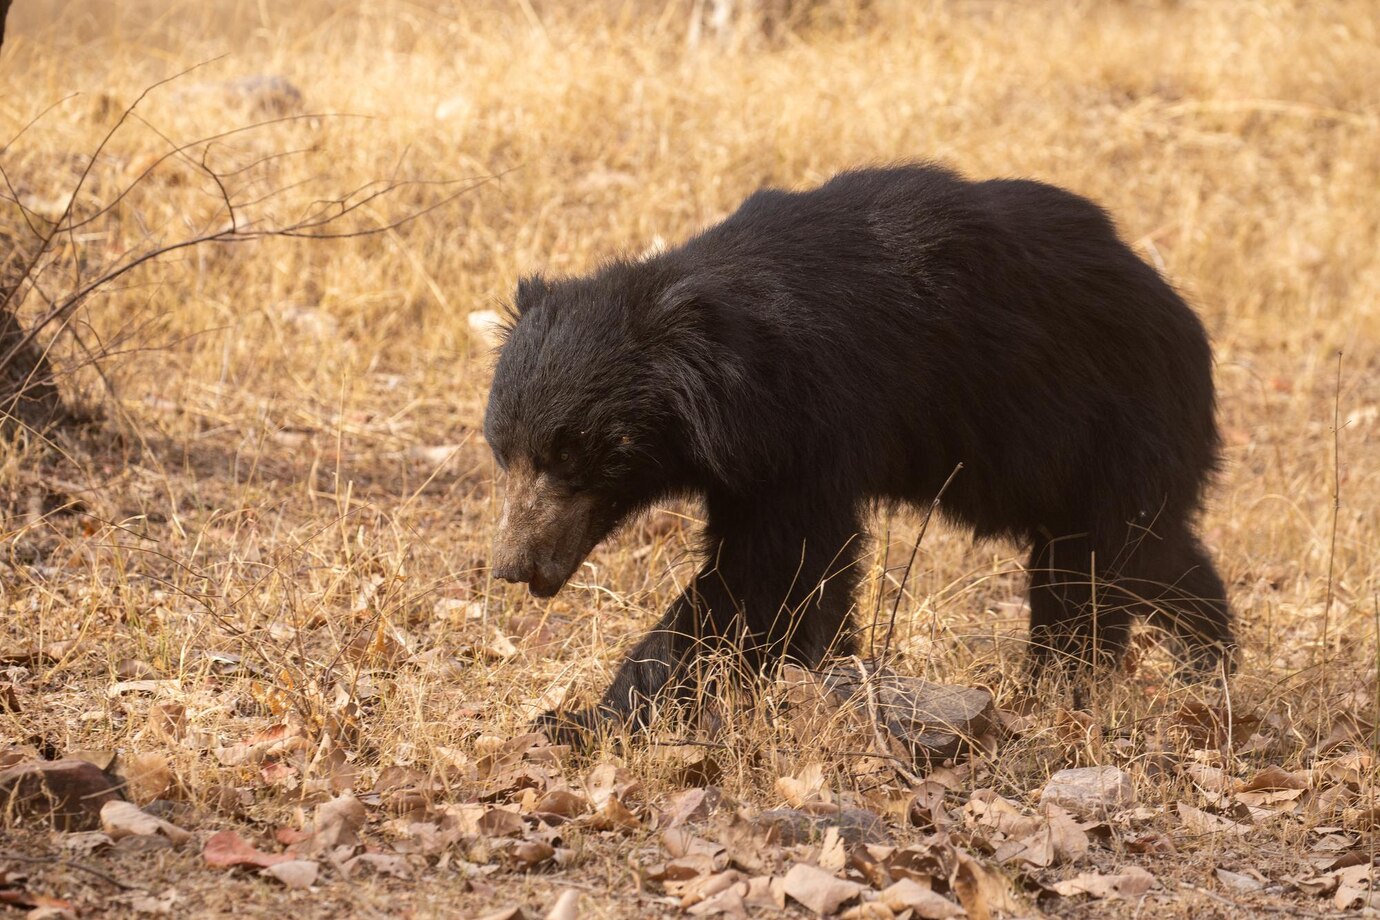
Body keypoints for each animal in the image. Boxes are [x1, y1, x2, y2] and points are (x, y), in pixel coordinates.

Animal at [483, 163, 1234, 738]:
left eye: (574, 458)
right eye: (505, 453)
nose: (514, 566)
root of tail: (1183, 315)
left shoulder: (810, 424)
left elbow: (769, 574)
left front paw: (585, 720)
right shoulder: (752, 460)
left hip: (1107, 422)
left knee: (1095, 568)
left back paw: (1066, 682)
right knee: (1147, 555)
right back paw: (1210, 656)